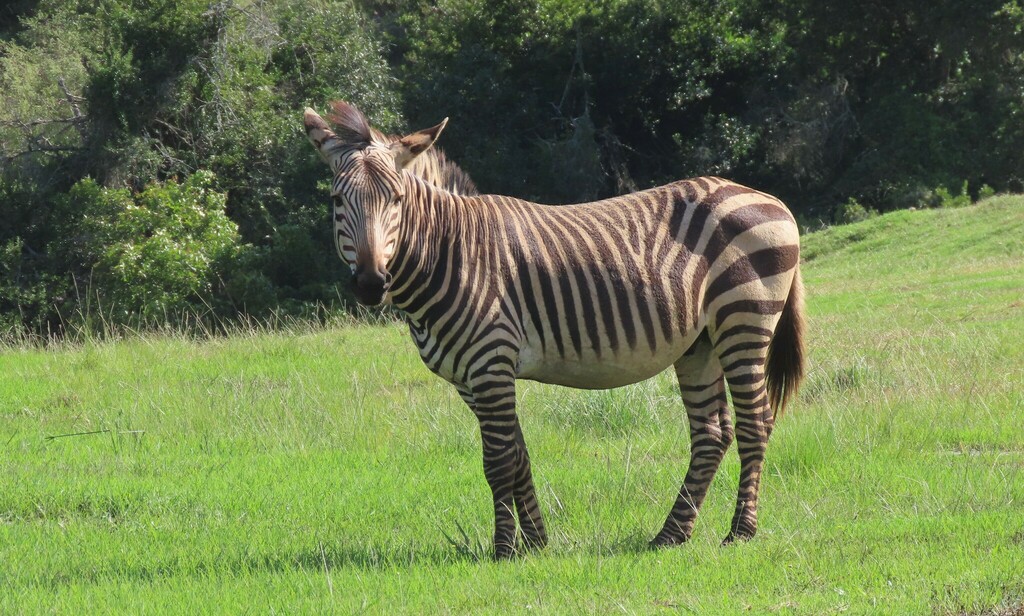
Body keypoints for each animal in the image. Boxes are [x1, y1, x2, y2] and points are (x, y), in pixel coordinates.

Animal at [304, 101, 805, 559]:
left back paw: (740, 532)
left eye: (397, 200)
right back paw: (671, 534)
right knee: (711, 433)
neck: (450, 253)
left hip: (743, 319)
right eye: (336, 201)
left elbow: (497, 462)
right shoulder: (472, 377)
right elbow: (518, 456)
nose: (371, 283)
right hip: (699, 343)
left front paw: (504, 549)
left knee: (755, 423)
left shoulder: (490, 363)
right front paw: (536, 542)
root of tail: (770, 198)